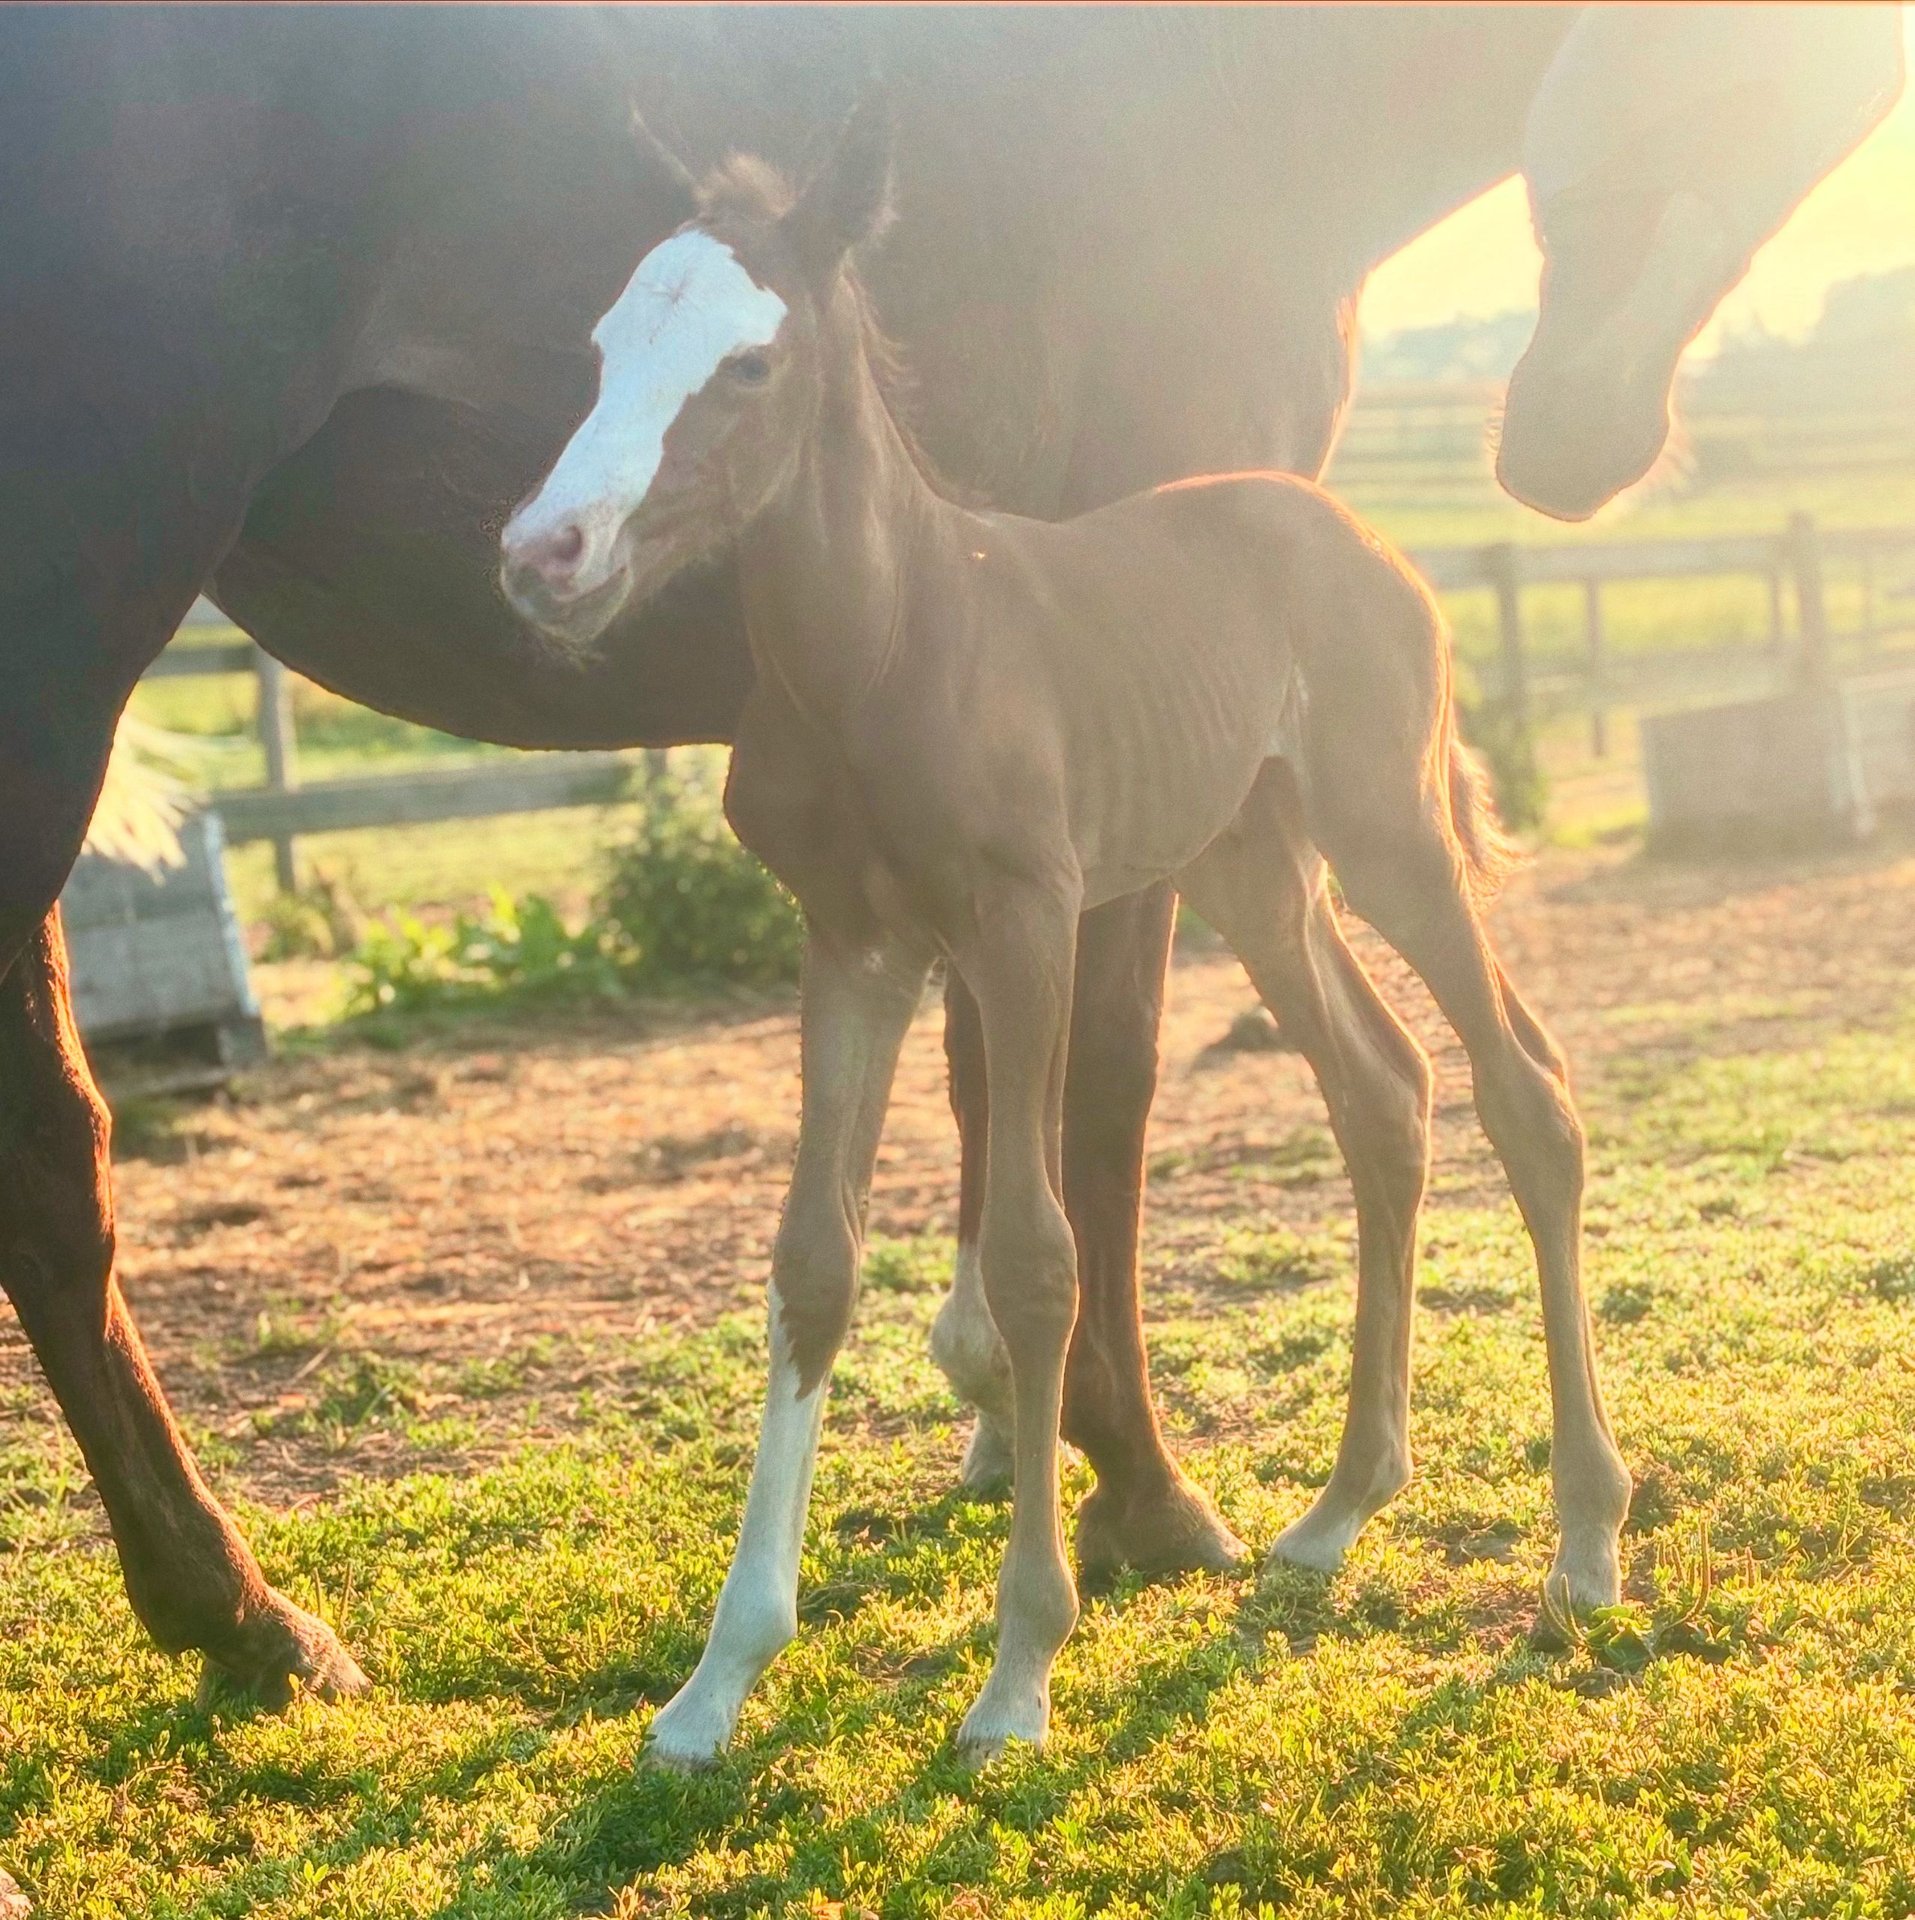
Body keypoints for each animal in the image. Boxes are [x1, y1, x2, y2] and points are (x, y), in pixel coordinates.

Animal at [0, 5, 1898, 1707]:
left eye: (746, 363)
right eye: (595, 348)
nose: (1569, 444)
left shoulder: (1029, 863)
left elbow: (1028, 1138)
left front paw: (1038, 1472)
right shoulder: (954, 876)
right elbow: (994, 1157)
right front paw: (1076, 1494)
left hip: (1323, 834)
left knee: (1468, 1091)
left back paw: (1519, 1531)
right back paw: (244, 1618)